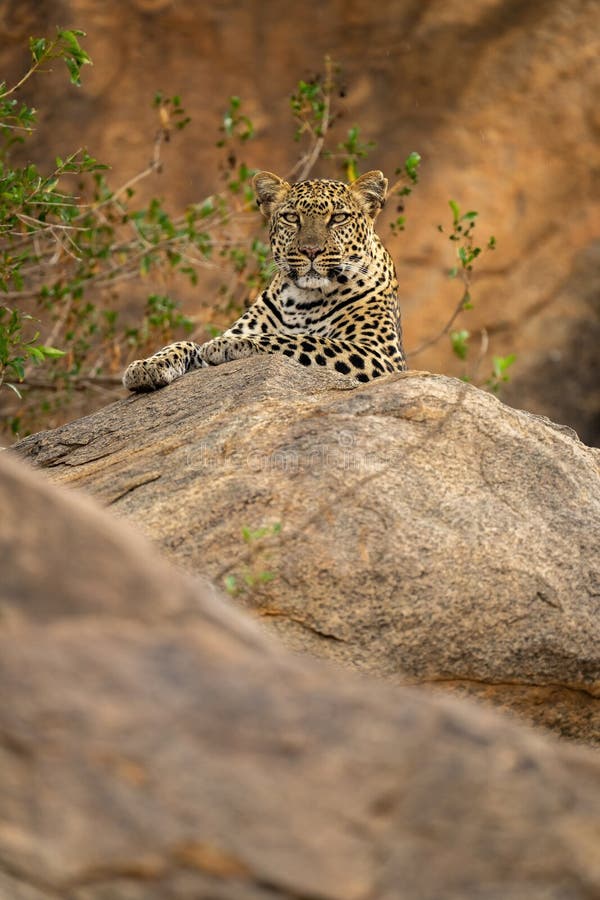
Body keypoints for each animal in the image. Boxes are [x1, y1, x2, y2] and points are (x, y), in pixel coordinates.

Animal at [123, 169, 407, 392]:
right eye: (291, 217)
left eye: (338, 218)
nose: (310, 250)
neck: (303, 300)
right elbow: (186, 343)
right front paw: (147, 365)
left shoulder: (381, 355)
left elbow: (301, 340)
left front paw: (228, 344)